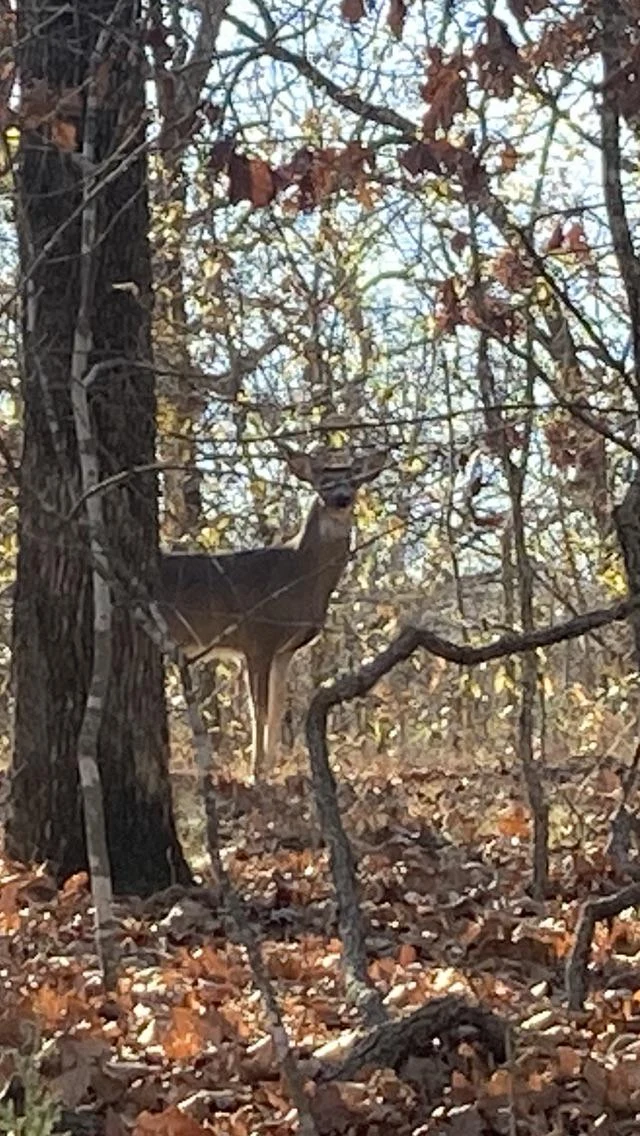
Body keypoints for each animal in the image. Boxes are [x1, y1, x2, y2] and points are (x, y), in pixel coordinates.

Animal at [158, 444, 386, 783]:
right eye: (323, 482)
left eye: (355, 481)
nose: (342, 499)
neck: (296, 575)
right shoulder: (257, 637)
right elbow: (259, 709)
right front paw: (256, 774)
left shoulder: (283, 649)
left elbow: (278, 707)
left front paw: (272, 769)